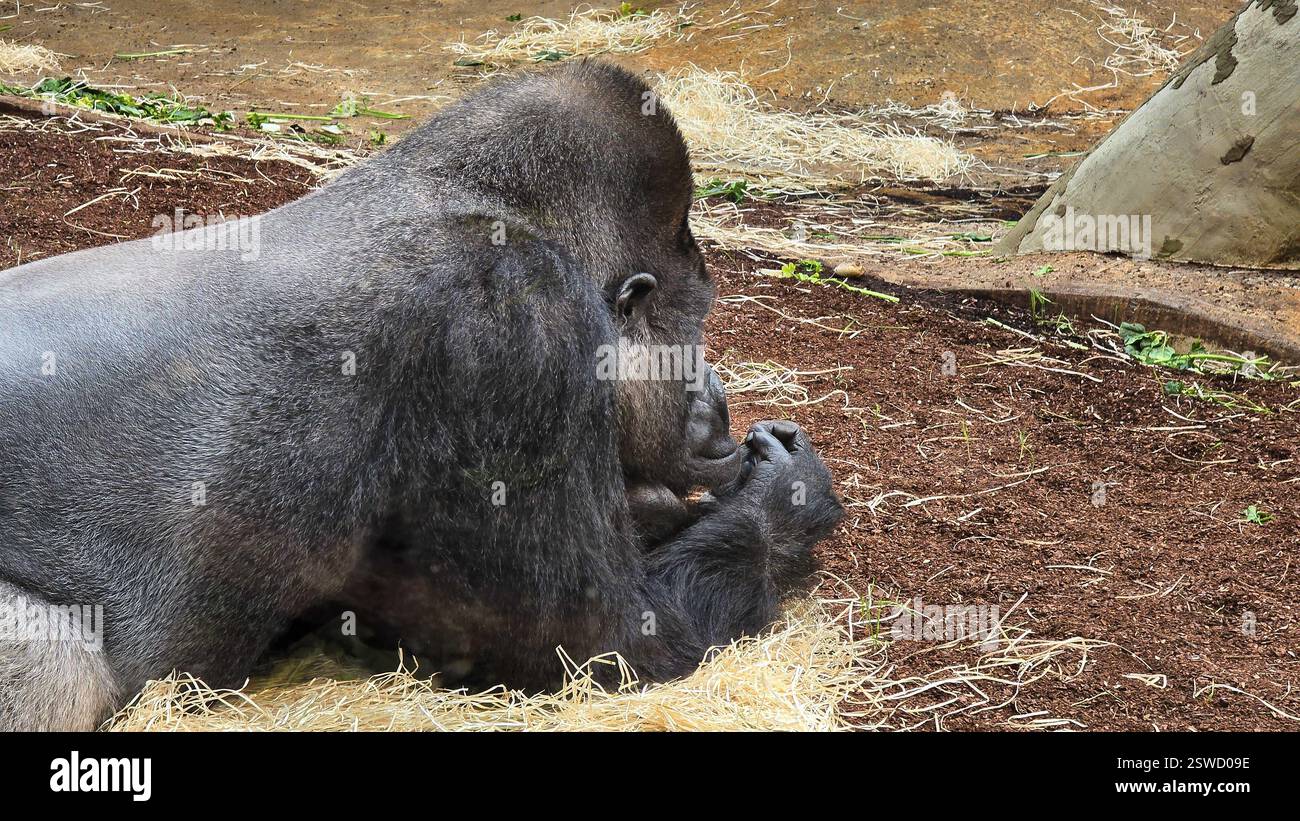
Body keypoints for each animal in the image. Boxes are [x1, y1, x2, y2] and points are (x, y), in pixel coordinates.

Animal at [0, 60, 842, 729]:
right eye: (694, 328)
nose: (714, 388)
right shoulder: (513, 315)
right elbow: (602, 643)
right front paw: (787, 499)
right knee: (53, 652)